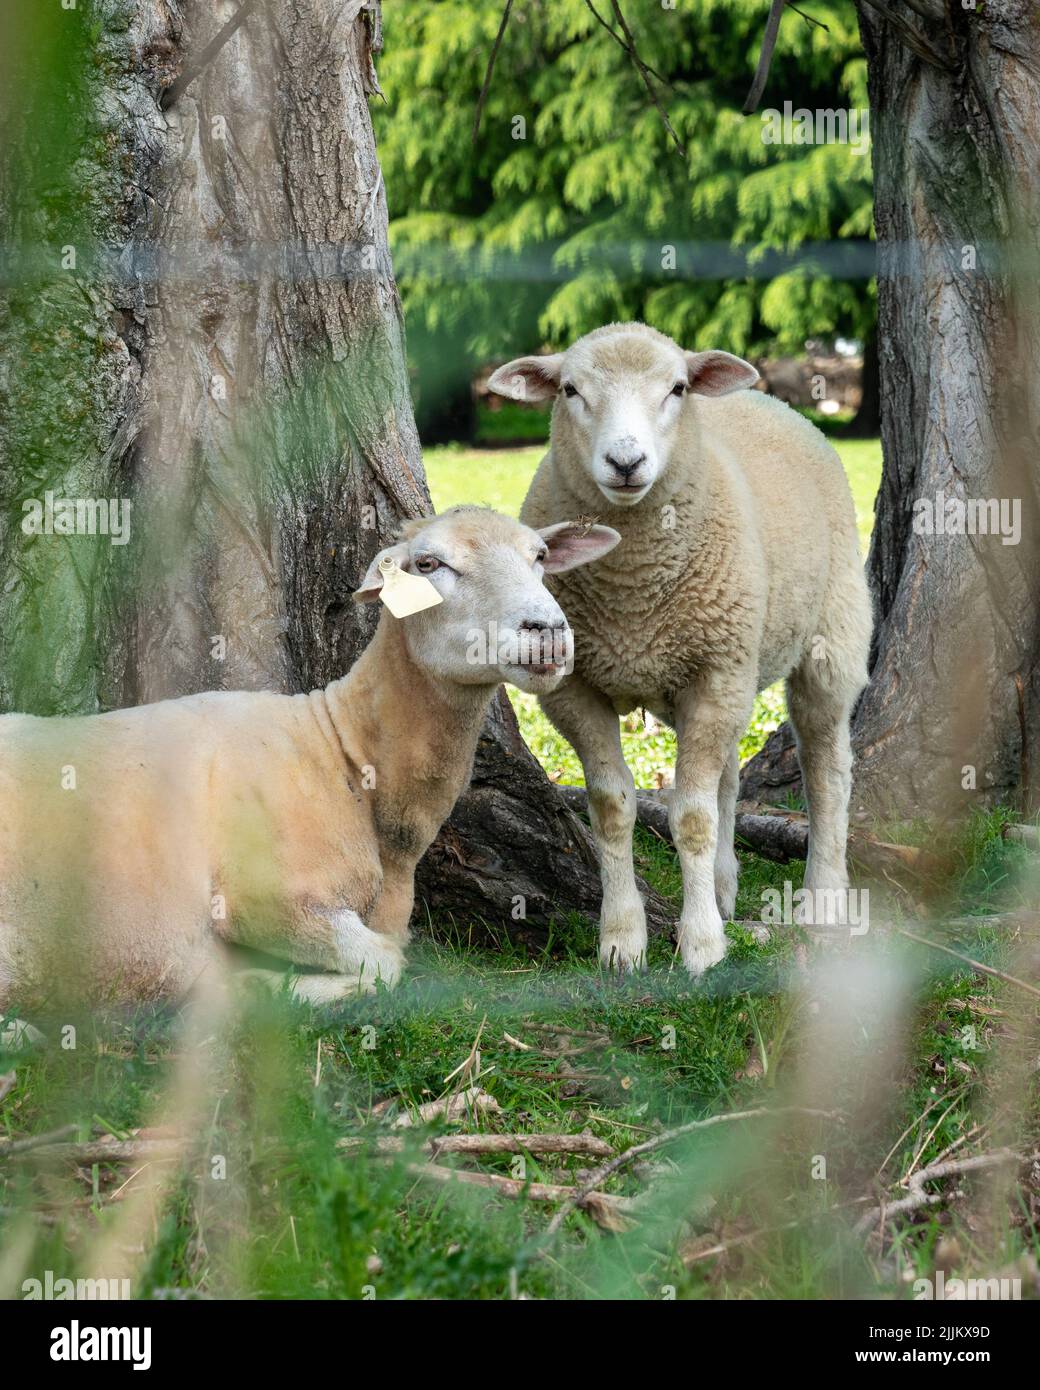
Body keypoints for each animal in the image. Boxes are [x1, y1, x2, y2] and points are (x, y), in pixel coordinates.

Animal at [0, 506, 620, 1015]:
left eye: (540, 556)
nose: (547, 631)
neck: (340, 752)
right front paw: (259, 986)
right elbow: (384, 964)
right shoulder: (264, 896)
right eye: (428, 563)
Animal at [489, 322, 873, 977]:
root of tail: (765, 399)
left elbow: (690, 817)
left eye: (676, 388)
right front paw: (622, 940)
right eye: (569, 389)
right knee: (727, 779)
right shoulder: (575, 687)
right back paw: (721, 884)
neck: (632, 586)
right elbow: (613, 808)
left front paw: (701, 946)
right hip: (716, 669)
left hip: (828, 635)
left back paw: (824, 898)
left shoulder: (715, 675)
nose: (625, 462)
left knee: (827, 769)